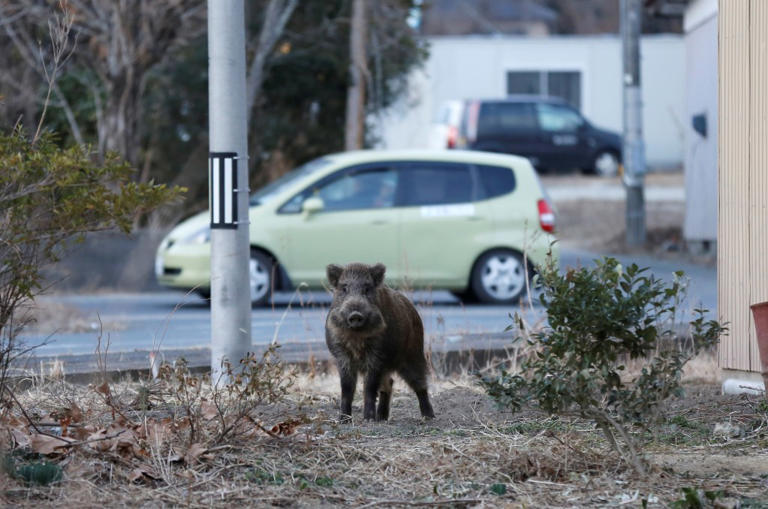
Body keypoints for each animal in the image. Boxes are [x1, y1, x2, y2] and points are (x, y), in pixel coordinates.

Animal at [325, 262, 435, 422]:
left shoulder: (377, 355)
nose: (355, 314)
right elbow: (346, 388)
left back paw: (428, 416)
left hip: (413, 354)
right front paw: (344, 420)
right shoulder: (342, 356)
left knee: (420, 383)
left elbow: (369, 387)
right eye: (344, 288)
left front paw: (368, 419)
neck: (356, 337)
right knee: (389, 384)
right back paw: (382, 417)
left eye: (367, 289)